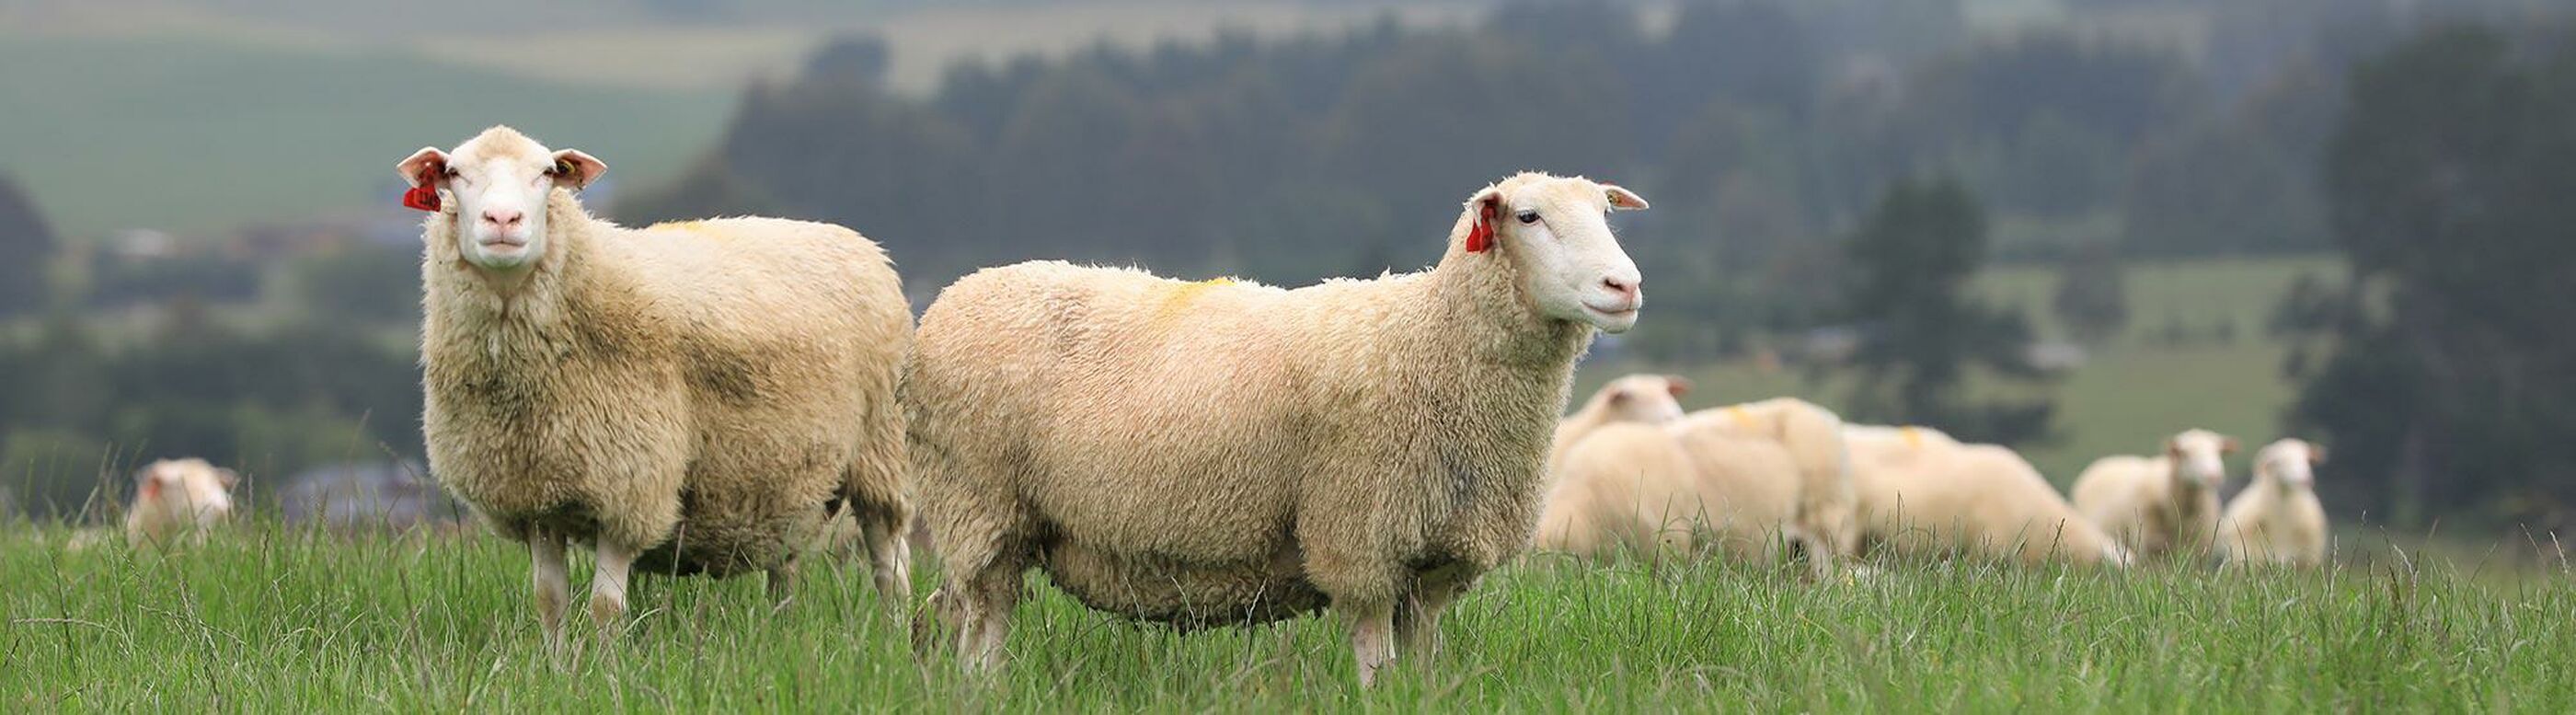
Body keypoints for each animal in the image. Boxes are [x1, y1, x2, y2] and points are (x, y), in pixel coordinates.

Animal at [400, 126, 914, 650]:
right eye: (453, 173)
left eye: (547, 172)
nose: (503, 219)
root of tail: (856, 241)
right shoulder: (534, 498)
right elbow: (549, 600)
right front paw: (556, 662)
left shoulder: (630, 486)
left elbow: (605, 608)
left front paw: (604, 668)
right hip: (788, 478)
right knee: (784, 566)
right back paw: (781, 635)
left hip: (881, 448)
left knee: (889, 560)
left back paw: (896, 633)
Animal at [903, 172, 1649, 686]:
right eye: (1528, 215)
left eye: (1605, 213)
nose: (1625, 286)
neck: (1432, 343)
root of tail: (948, 300)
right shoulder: (1360, 541)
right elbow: (1377, 667)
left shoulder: (1434, 559)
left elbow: (1422, 666)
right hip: (980, 502)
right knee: (985, 626)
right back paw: (985, 690)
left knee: (957, 615)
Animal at [2071, 429, 2238, 562]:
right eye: (2186, 454)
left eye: (2219, 452)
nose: (2214, 476)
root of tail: (2110, 459)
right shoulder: (2151, 546)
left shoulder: (2201, 548)